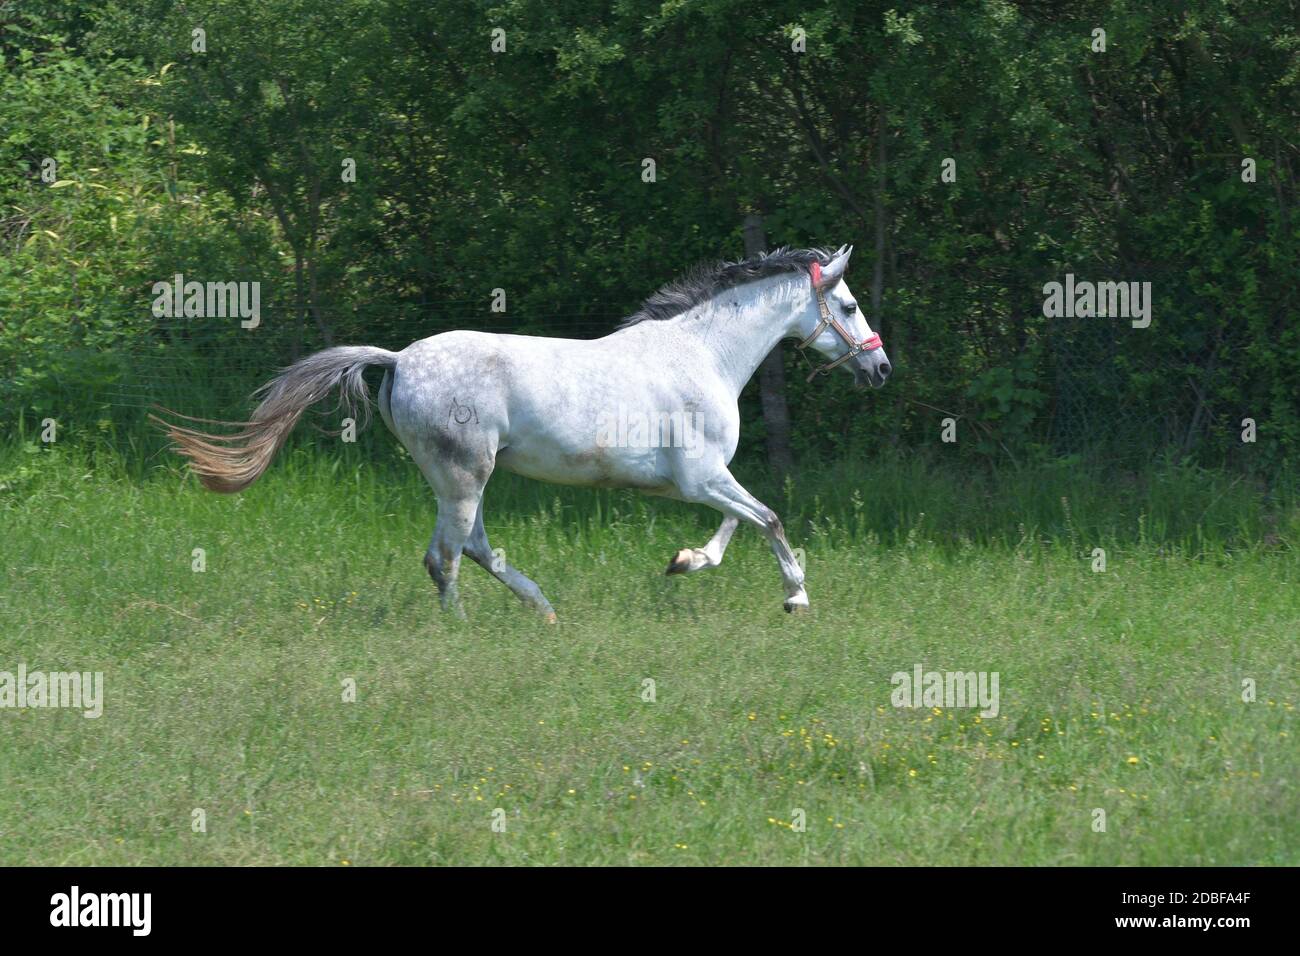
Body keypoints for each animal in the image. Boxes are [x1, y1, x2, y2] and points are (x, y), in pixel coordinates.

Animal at [153, 244, 891, 619]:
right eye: (851, 305)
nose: (880, 367)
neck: (703, 355)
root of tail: (398, 360)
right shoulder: (699, 477)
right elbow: (767, 518)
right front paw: (796, 596)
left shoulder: (701, 482)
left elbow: (741, 522)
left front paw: (686, 562)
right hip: (463, 475)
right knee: (447, 556)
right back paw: (462, 630)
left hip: (460, 479)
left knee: (473, 549)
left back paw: (544, 610)